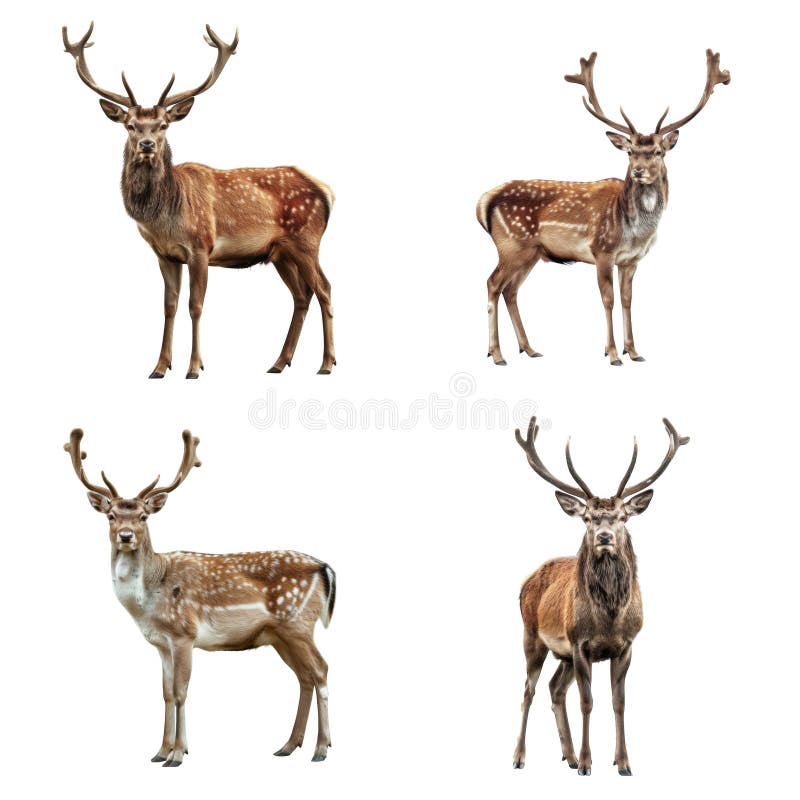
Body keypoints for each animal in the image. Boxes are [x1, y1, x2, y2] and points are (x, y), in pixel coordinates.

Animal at [62, 23, 336, 378]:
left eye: (163, 125)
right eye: (131, 126)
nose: (148, 145)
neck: (164, 217)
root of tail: (324, 189)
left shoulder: (201, 247)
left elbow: (196, 305)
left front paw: (194, 367)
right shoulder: (165, 255)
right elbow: (169, 306)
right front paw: (160, 367)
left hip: (307, 240)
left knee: (324, 289)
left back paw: (327, 363)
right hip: (280, 252)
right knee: (302, 296)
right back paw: (278, 362)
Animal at [64, 428, 335, 766]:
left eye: (143, 517)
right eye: (111, 516)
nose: (126, 536)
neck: (147, 602)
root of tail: (324, 567)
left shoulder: (184, 633)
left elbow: (181, 692)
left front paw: (178, 754)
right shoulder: (161, 643)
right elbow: (166, 693)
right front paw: (160, 751)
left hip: (298, 623)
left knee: (321, 670)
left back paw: (321, 748)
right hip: (279, 636)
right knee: (305, 677)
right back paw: (288, 746)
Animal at [478, 50, 729, 366]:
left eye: (658, 152)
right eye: (631, 152)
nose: (638, 171)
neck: (634, 229)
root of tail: (484, 200)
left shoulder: (631, 260)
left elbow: (627, 300)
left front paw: (633, 351)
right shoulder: (602, 251)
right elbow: (607, 299)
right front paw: (612, 354)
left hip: (531, 253)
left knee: (511, 290)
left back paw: (529, 348)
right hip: (512, 244)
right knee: (492, 283)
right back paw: (497, 353)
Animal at [511, 417, 688, 776]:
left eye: (622, 516)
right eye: (588, 518)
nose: (604, 537)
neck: (609, 619)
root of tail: (526, 580)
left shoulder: (626, 645)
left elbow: (618, 702)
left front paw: (623, 763)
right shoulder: (581, 643)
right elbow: (587, 701)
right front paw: (587, 763)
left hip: (562, 654)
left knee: (555, 689)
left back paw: (568, 755)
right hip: (532, 636)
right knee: (528, 690)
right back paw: (521, 757)